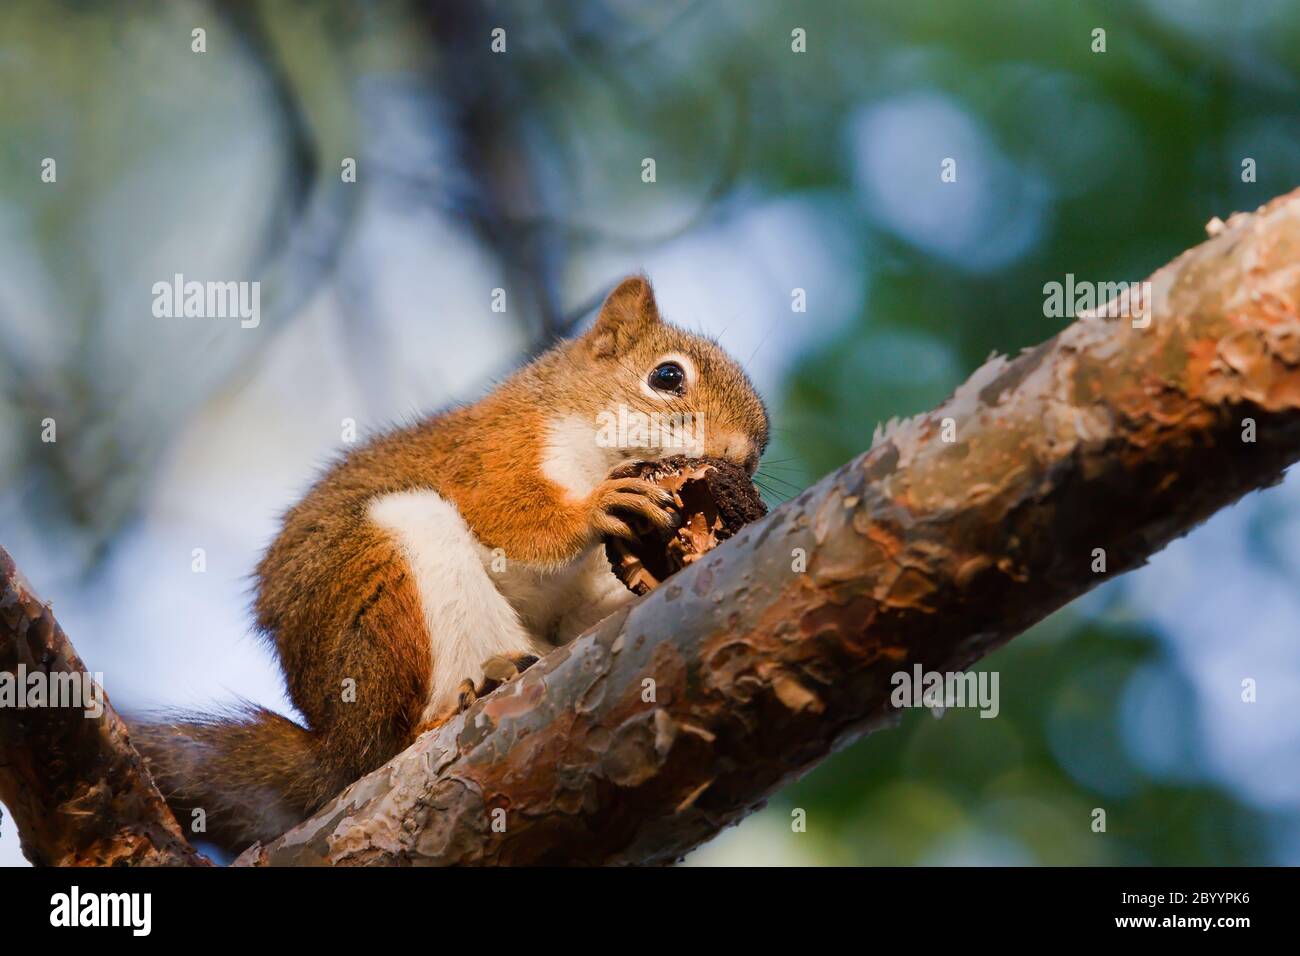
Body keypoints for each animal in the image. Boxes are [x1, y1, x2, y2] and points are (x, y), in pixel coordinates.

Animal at [131, 275, 769, 853]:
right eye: (667, 376)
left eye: (761, 450)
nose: (739, 456)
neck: (580, 432)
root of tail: (332, 746)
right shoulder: (492, 455)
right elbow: (511, 520)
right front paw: (595, 510)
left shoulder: (578, 603)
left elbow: (587, 614)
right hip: (389, 588)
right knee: (393, 742)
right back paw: (457, 703)